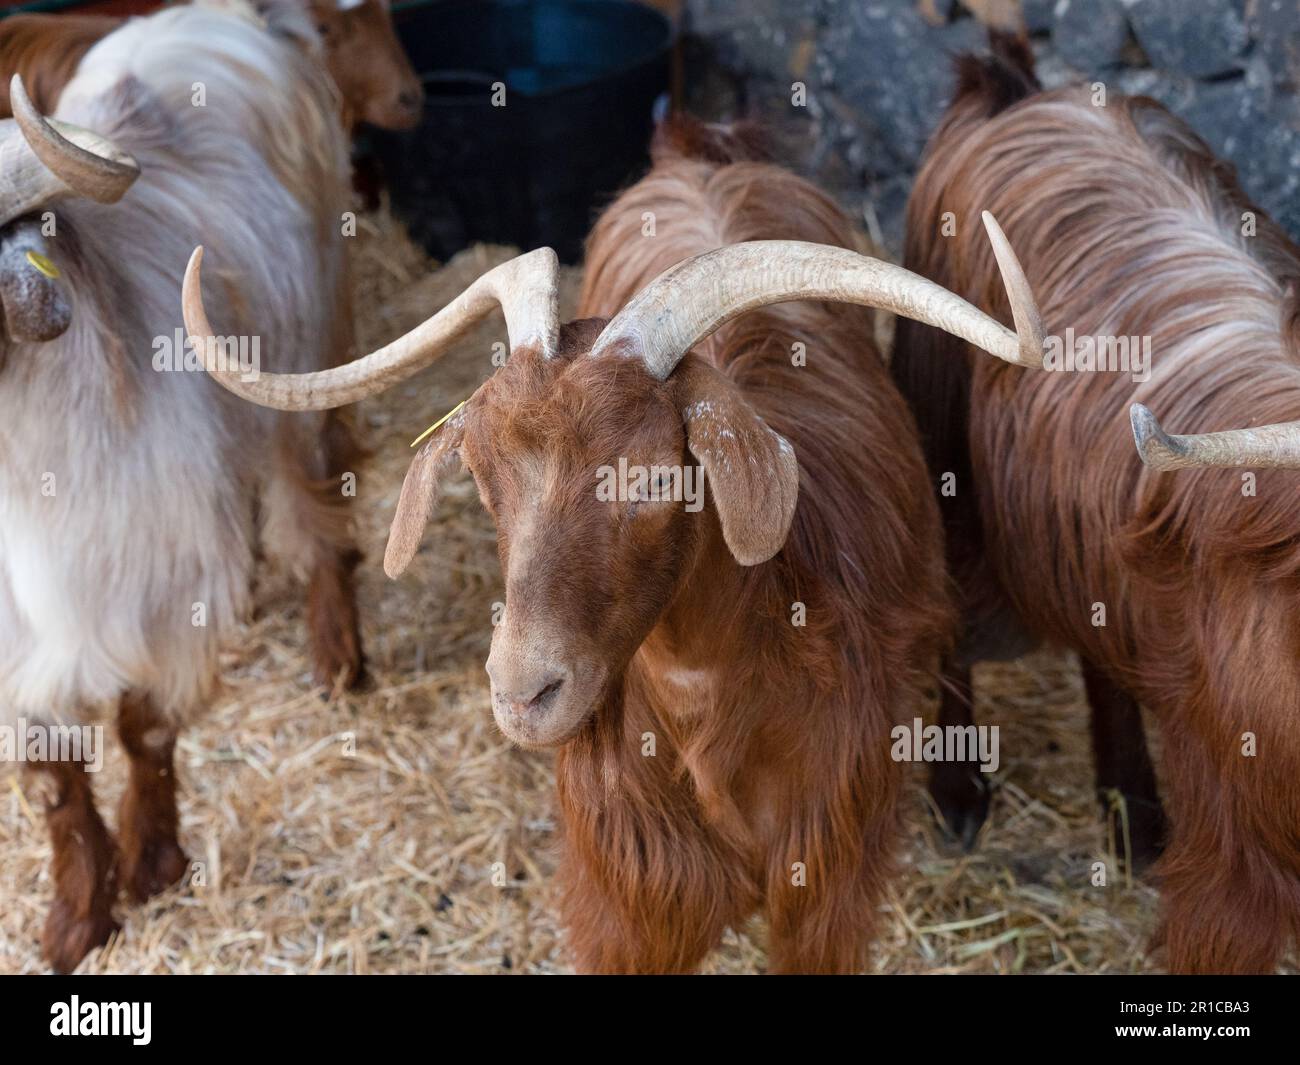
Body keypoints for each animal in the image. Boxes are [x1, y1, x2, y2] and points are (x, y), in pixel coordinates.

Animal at [1, 0, 363, 972]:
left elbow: (145, 729)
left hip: (304, 367)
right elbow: (54, 781)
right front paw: (76, 922)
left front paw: (153, 867)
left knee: (316, 503)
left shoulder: (159, 587)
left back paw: (339, 659)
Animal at [890, 35, 1300, 973]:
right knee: (948, 613)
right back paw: (957, 796)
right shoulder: (1238, 817)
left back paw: (1133, 814)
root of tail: (1018, 92)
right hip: (942, 448)